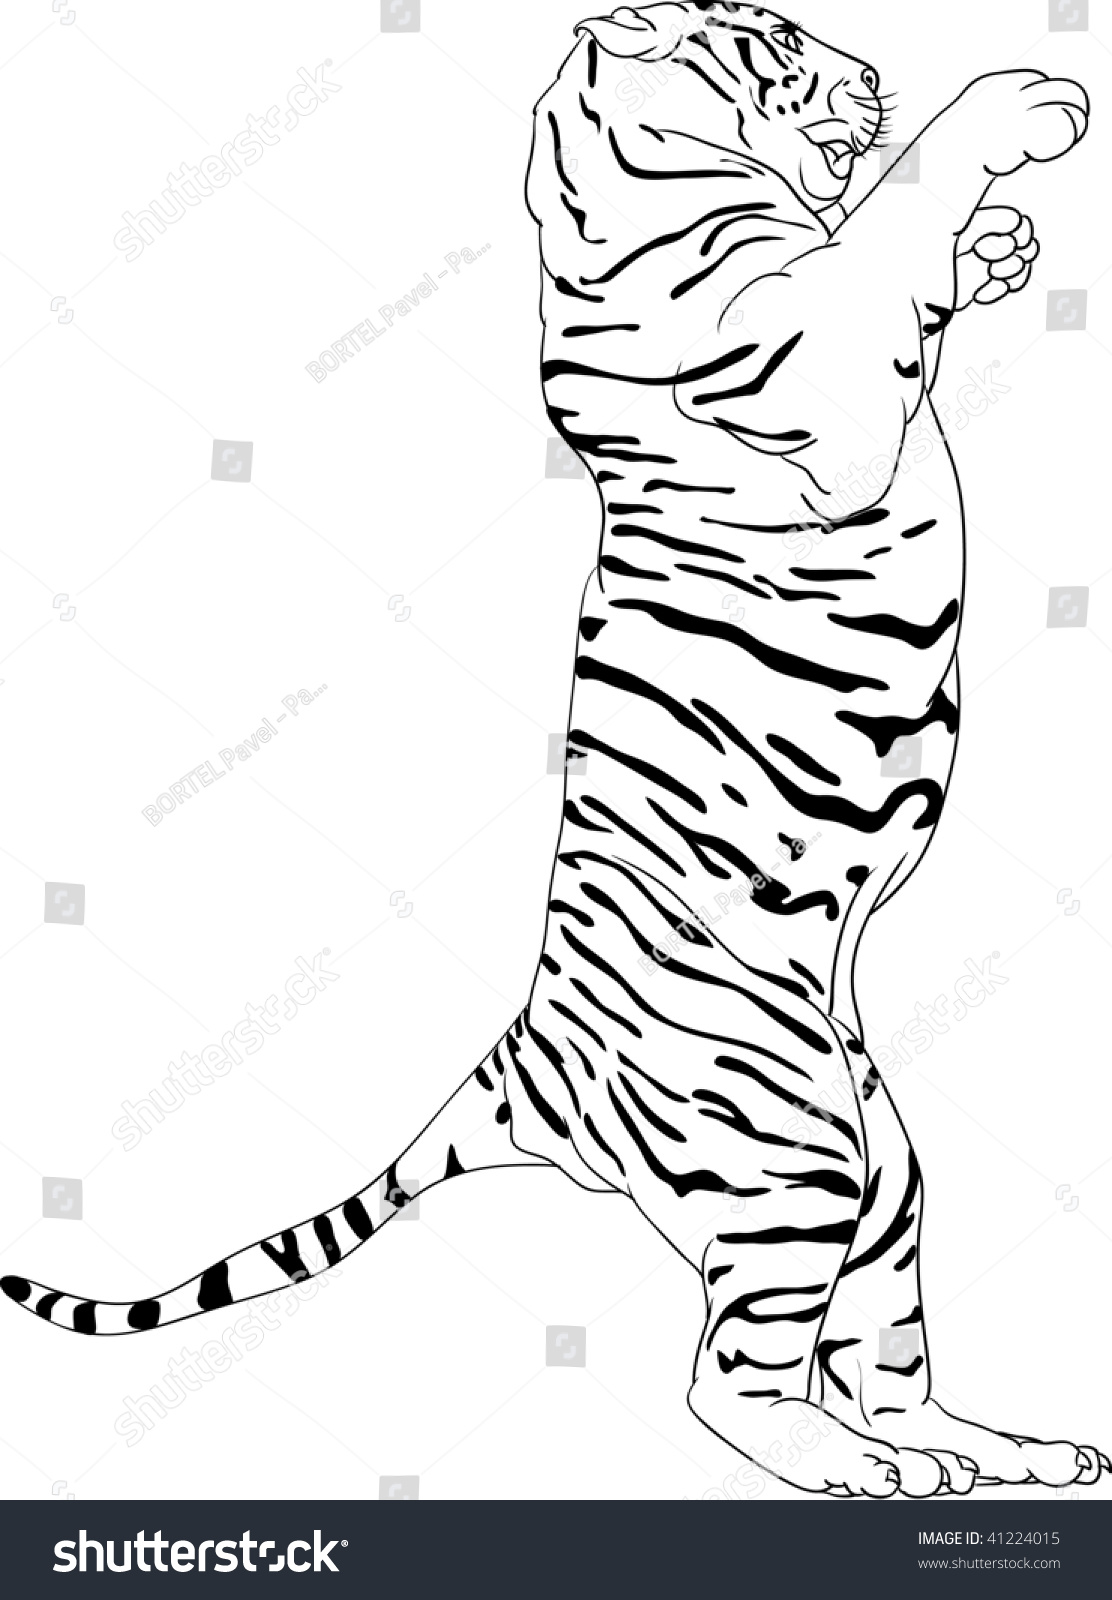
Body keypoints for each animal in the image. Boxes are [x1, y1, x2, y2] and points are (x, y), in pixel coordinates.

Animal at [4, 2, 1105, 1499]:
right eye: (781, 38)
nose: (878, 72)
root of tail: (523, 1055)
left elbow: (898, 258)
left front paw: (997, 247)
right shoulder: (812, 382)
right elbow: (884, 219)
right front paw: (1013, 108)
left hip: (882, 1181)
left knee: (882, 1365)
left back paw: (997, 1450)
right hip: (797, 1157)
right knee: (727, 1385)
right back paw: (853, 1468)